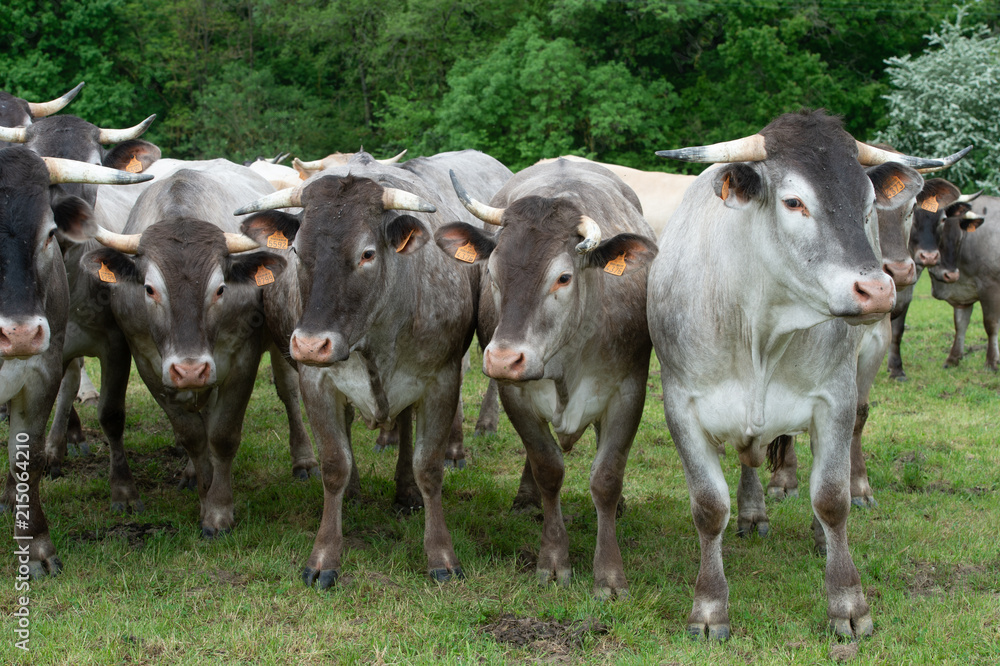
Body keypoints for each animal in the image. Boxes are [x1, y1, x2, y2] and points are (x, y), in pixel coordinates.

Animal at [79, 161, 307, 537]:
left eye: (220, 289)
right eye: (149, 289)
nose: (190, 369)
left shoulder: (242, 360)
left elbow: (223, 435)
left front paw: (218, 511)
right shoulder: (149, 364)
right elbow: (192, 435)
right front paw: (203, 489)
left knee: (289, 394)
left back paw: (305, 461)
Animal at [234, 149, 511, 587]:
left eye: (367, 253)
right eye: (295, 250)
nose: (310, 343)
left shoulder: (441, 379)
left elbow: (428, 467)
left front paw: (441, 555)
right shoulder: (316, 380)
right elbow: (335, 463)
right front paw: (324, 557)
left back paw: (405, 492)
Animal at [437, 160, 657, 598]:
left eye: (563, 278)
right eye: (492, 272)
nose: (504, 358)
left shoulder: (629, 391)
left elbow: (606, 477)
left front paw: (610, 576)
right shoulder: (516, 396)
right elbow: (547, 468)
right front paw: (554, 562)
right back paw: (527, 499)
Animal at [647, 109, 963, 640]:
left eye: (867, 203)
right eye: (794, 202)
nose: (878, 289)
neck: (759, 329)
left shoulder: (834, 398)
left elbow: (831, 497)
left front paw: (848, 604)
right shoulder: (681, 406)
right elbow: (709, 508)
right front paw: (709, 608)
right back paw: (754, 510)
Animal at [927, 195, 998, 370]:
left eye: (958, 236)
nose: (949, 274)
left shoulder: (990, 286)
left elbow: (991, 325)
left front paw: (991, 361)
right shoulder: (963, 294)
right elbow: (960, 324)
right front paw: (953, 358)